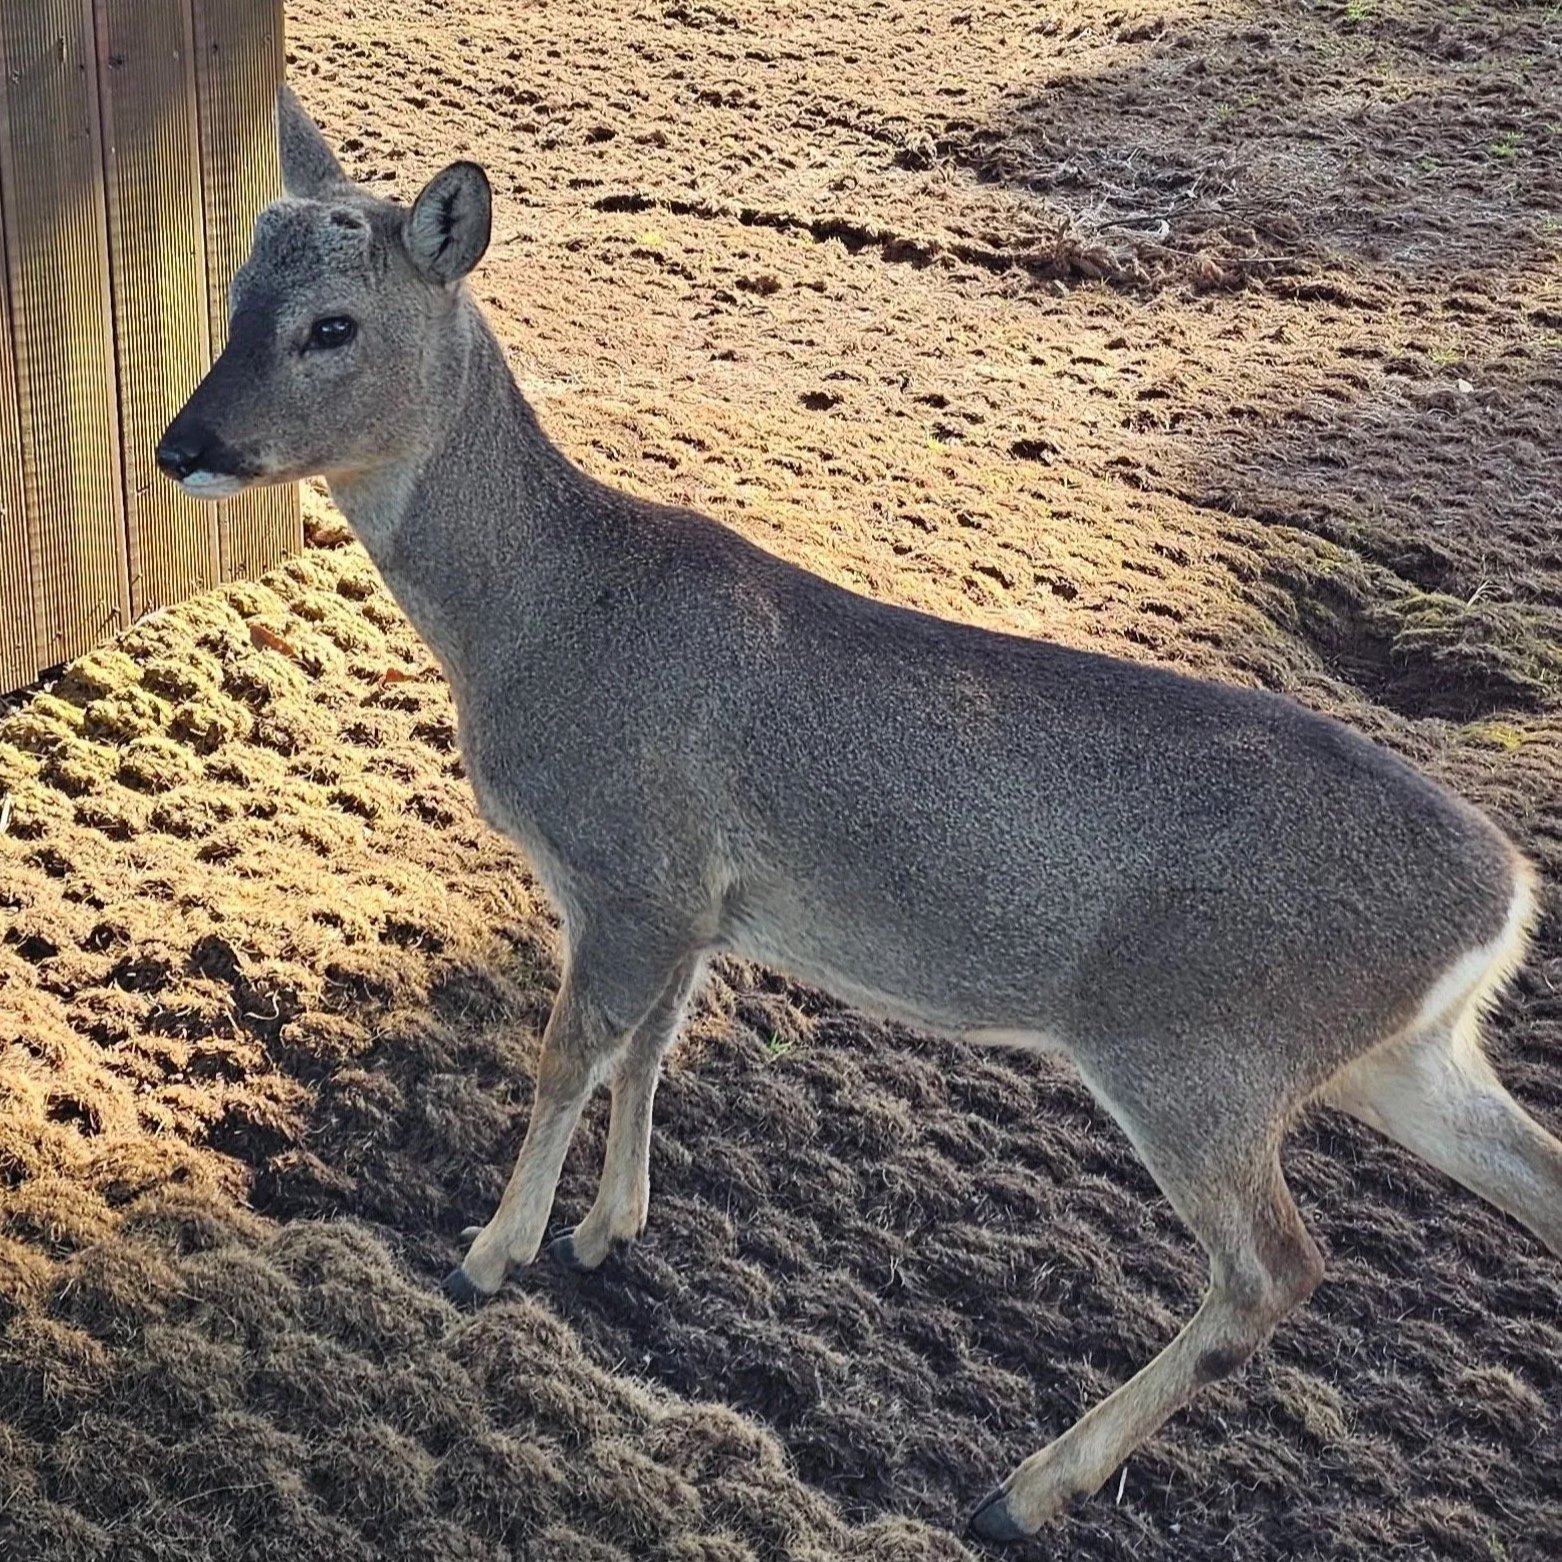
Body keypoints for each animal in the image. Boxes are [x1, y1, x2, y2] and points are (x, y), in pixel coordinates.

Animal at [155, 85, 1559, 1543]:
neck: (536, 620)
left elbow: (567, 1056)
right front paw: (606, 1229)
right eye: (236, 296)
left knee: (1272, 1266)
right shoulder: (696, 896)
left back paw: (1020, 1491)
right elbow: (649, 1047)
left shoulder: (634, 862)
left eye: (332, 325)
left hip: (1201, 1042)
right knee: (1534, 1187)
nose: (182, 445)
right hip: (1396, 1055)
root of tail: (1503, 901)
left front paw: (489, 1256)